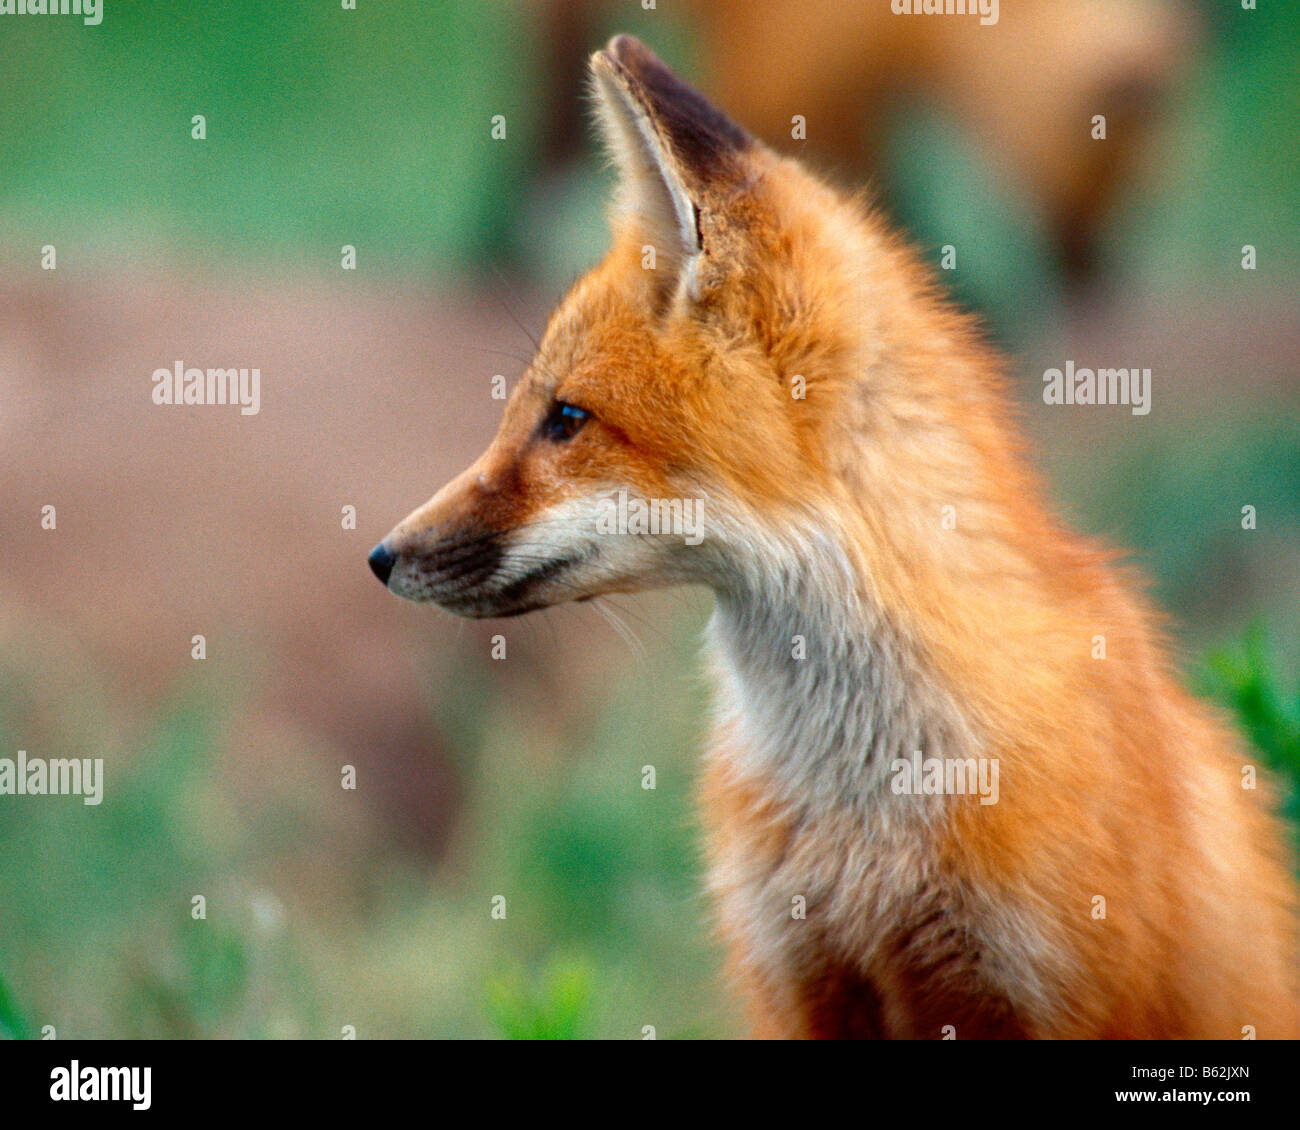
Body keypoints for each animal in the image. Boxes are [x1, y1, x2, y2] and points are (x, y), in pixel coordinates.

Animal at [369, 36, 1299, 1039]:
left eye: (567, 419)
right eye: (526, 414)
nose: (381, 557)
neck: (862, 816)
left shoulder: (1027, 986)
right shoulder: (801, 977)